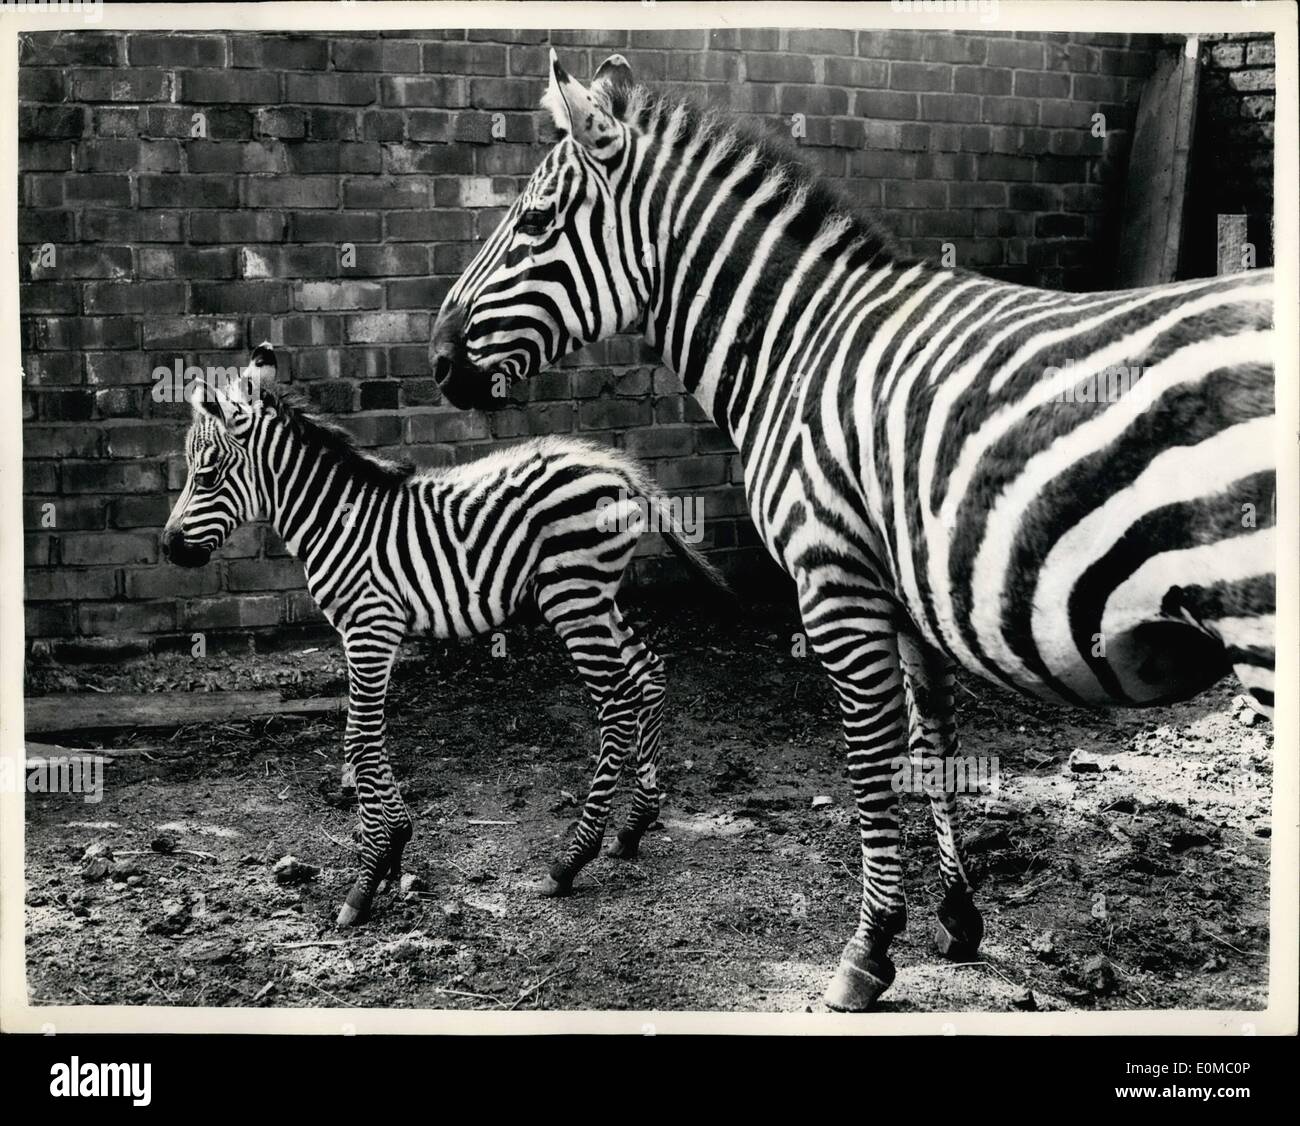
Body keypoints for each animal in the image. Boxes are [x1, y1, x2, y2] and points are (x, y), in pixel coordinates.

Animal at [162, 342, 727, 927]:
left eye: (206, 475)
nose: (168, 548)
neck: (334, 520)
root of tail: (613, 464)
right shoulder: (363, 634)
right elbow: (367, 738)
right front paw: (392, 847)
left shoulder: (371, 627)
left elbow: (359, 741)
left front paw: (367, 877)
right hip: (598, 598)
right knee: (650, 673)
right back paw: (634, 826)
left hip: (573, 599)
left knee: (616, 703)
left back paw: (571, 860)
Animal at [430, 52, 1277, 1010]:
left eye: (535, 219)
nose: (438, 360)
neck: (794, 347)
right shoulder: (908, 592)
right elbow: (932, 746)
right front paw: (957, 918)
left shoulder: (832, 580)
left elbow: (871, 764)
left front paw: (869, 951)